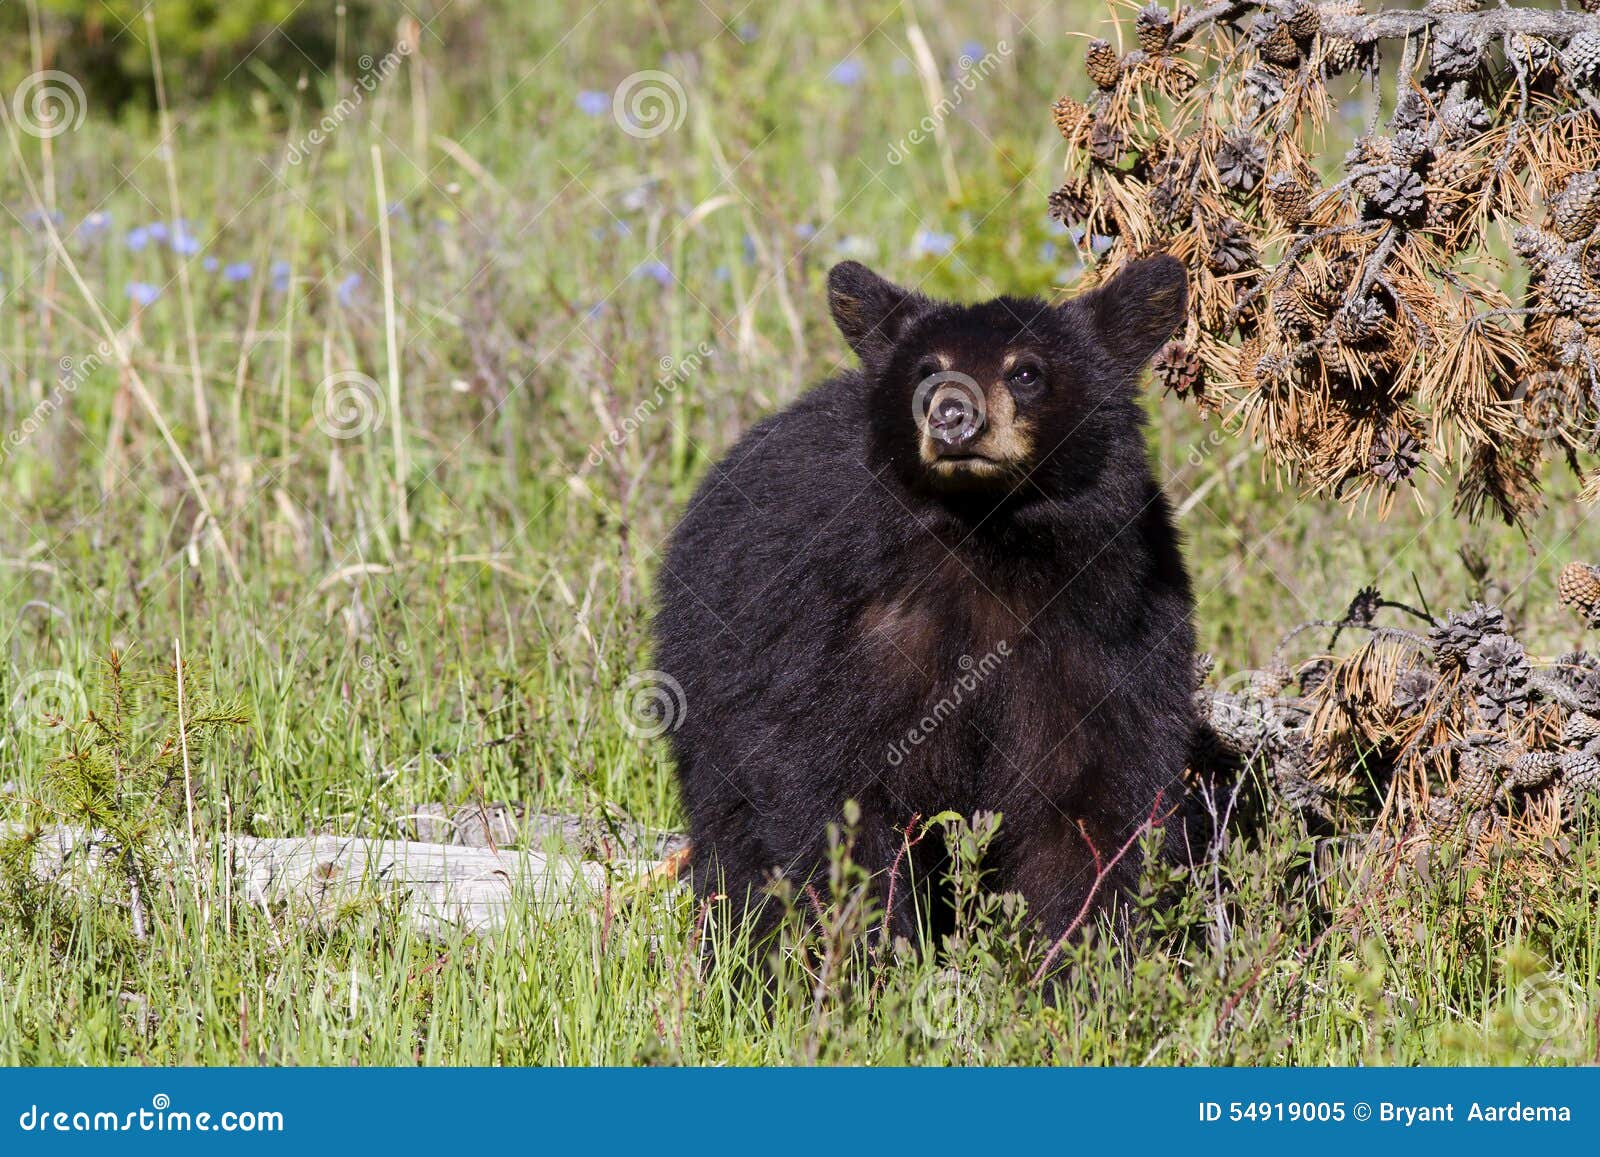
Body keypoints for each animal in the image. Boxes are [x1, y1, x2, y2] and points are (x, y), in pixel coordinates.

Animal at [652, 254, 1195, 951]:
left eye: (1026, 371)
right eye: (925, 372)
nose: (952, 415)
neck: (986, 538)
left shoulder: (1104, 634)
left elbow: (1091, 795)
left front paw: (1078, 954)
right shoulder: (842, 624)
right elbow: (822, 775)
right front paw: (873, 948)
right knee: (733, 824)